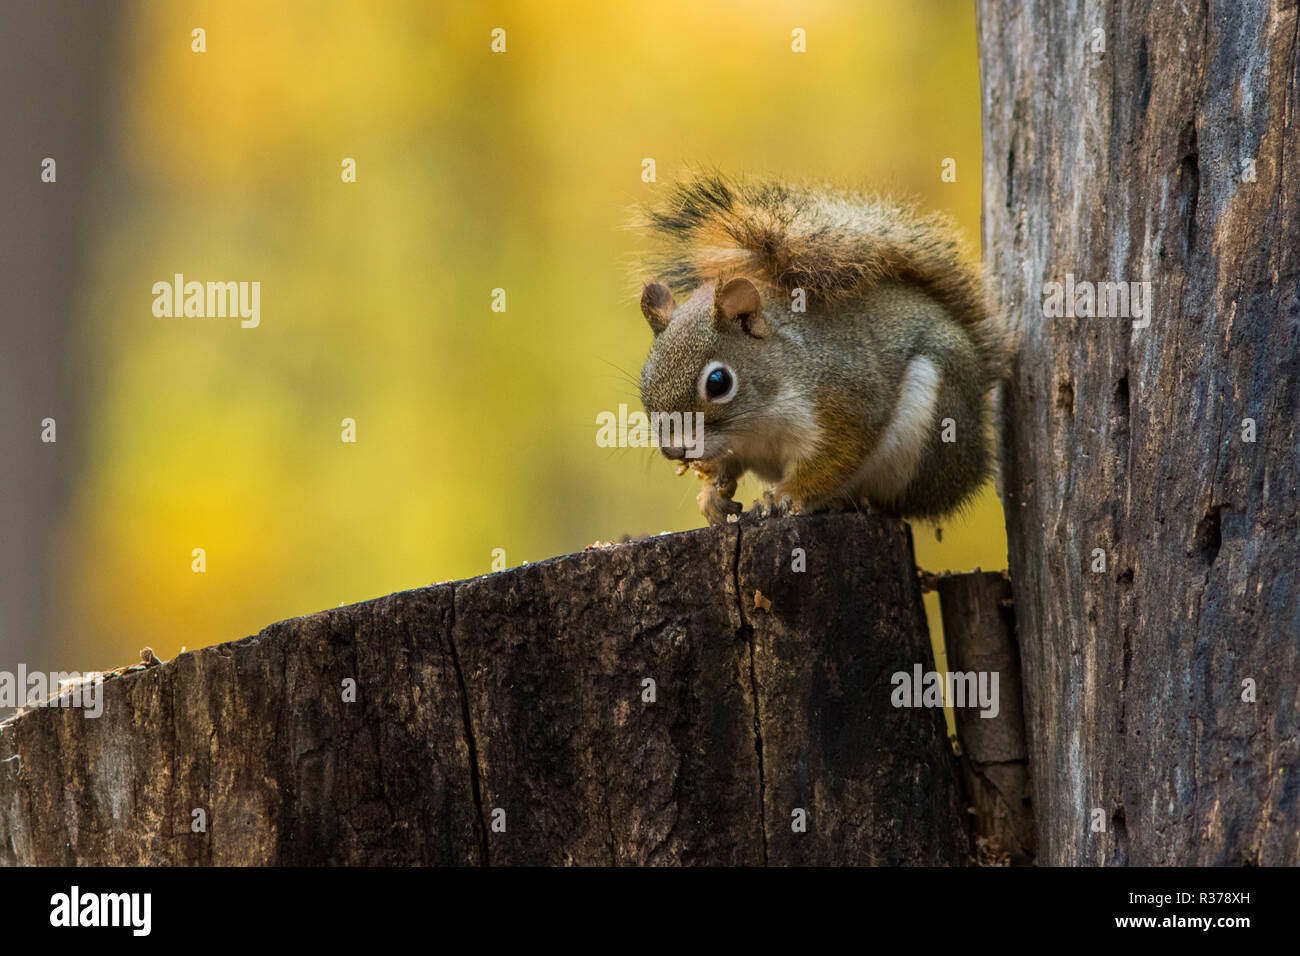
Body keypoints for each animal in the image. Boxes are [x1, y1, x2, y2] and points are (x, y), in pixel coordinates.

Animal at [635, 172, 1012, 526]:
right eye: (645, 381)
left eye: (718, 382)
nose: (675, 450)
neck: (756, 421)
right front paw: (712, 497)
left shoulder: (843, 398)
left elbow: (837, 455)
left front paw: (784, 496)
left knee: (899, 504)